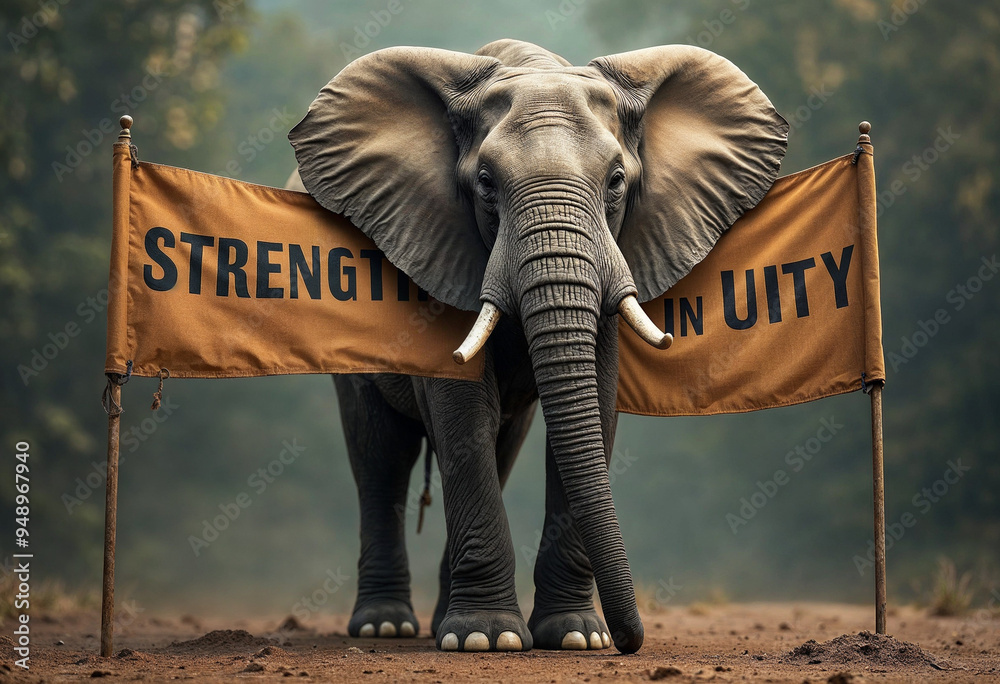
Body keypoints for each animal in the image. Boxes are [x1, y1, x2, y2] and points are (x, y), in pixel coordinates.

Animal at [287, 39, 787, 653]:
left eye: (616, 181)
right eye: (485, 183)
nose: (632, 640)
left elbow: (594, 405)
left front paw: (577, 638)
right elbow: (459, 409)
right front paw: (486, 640)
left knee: (499, 446)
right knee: (382, 456)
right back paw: (387, 626)